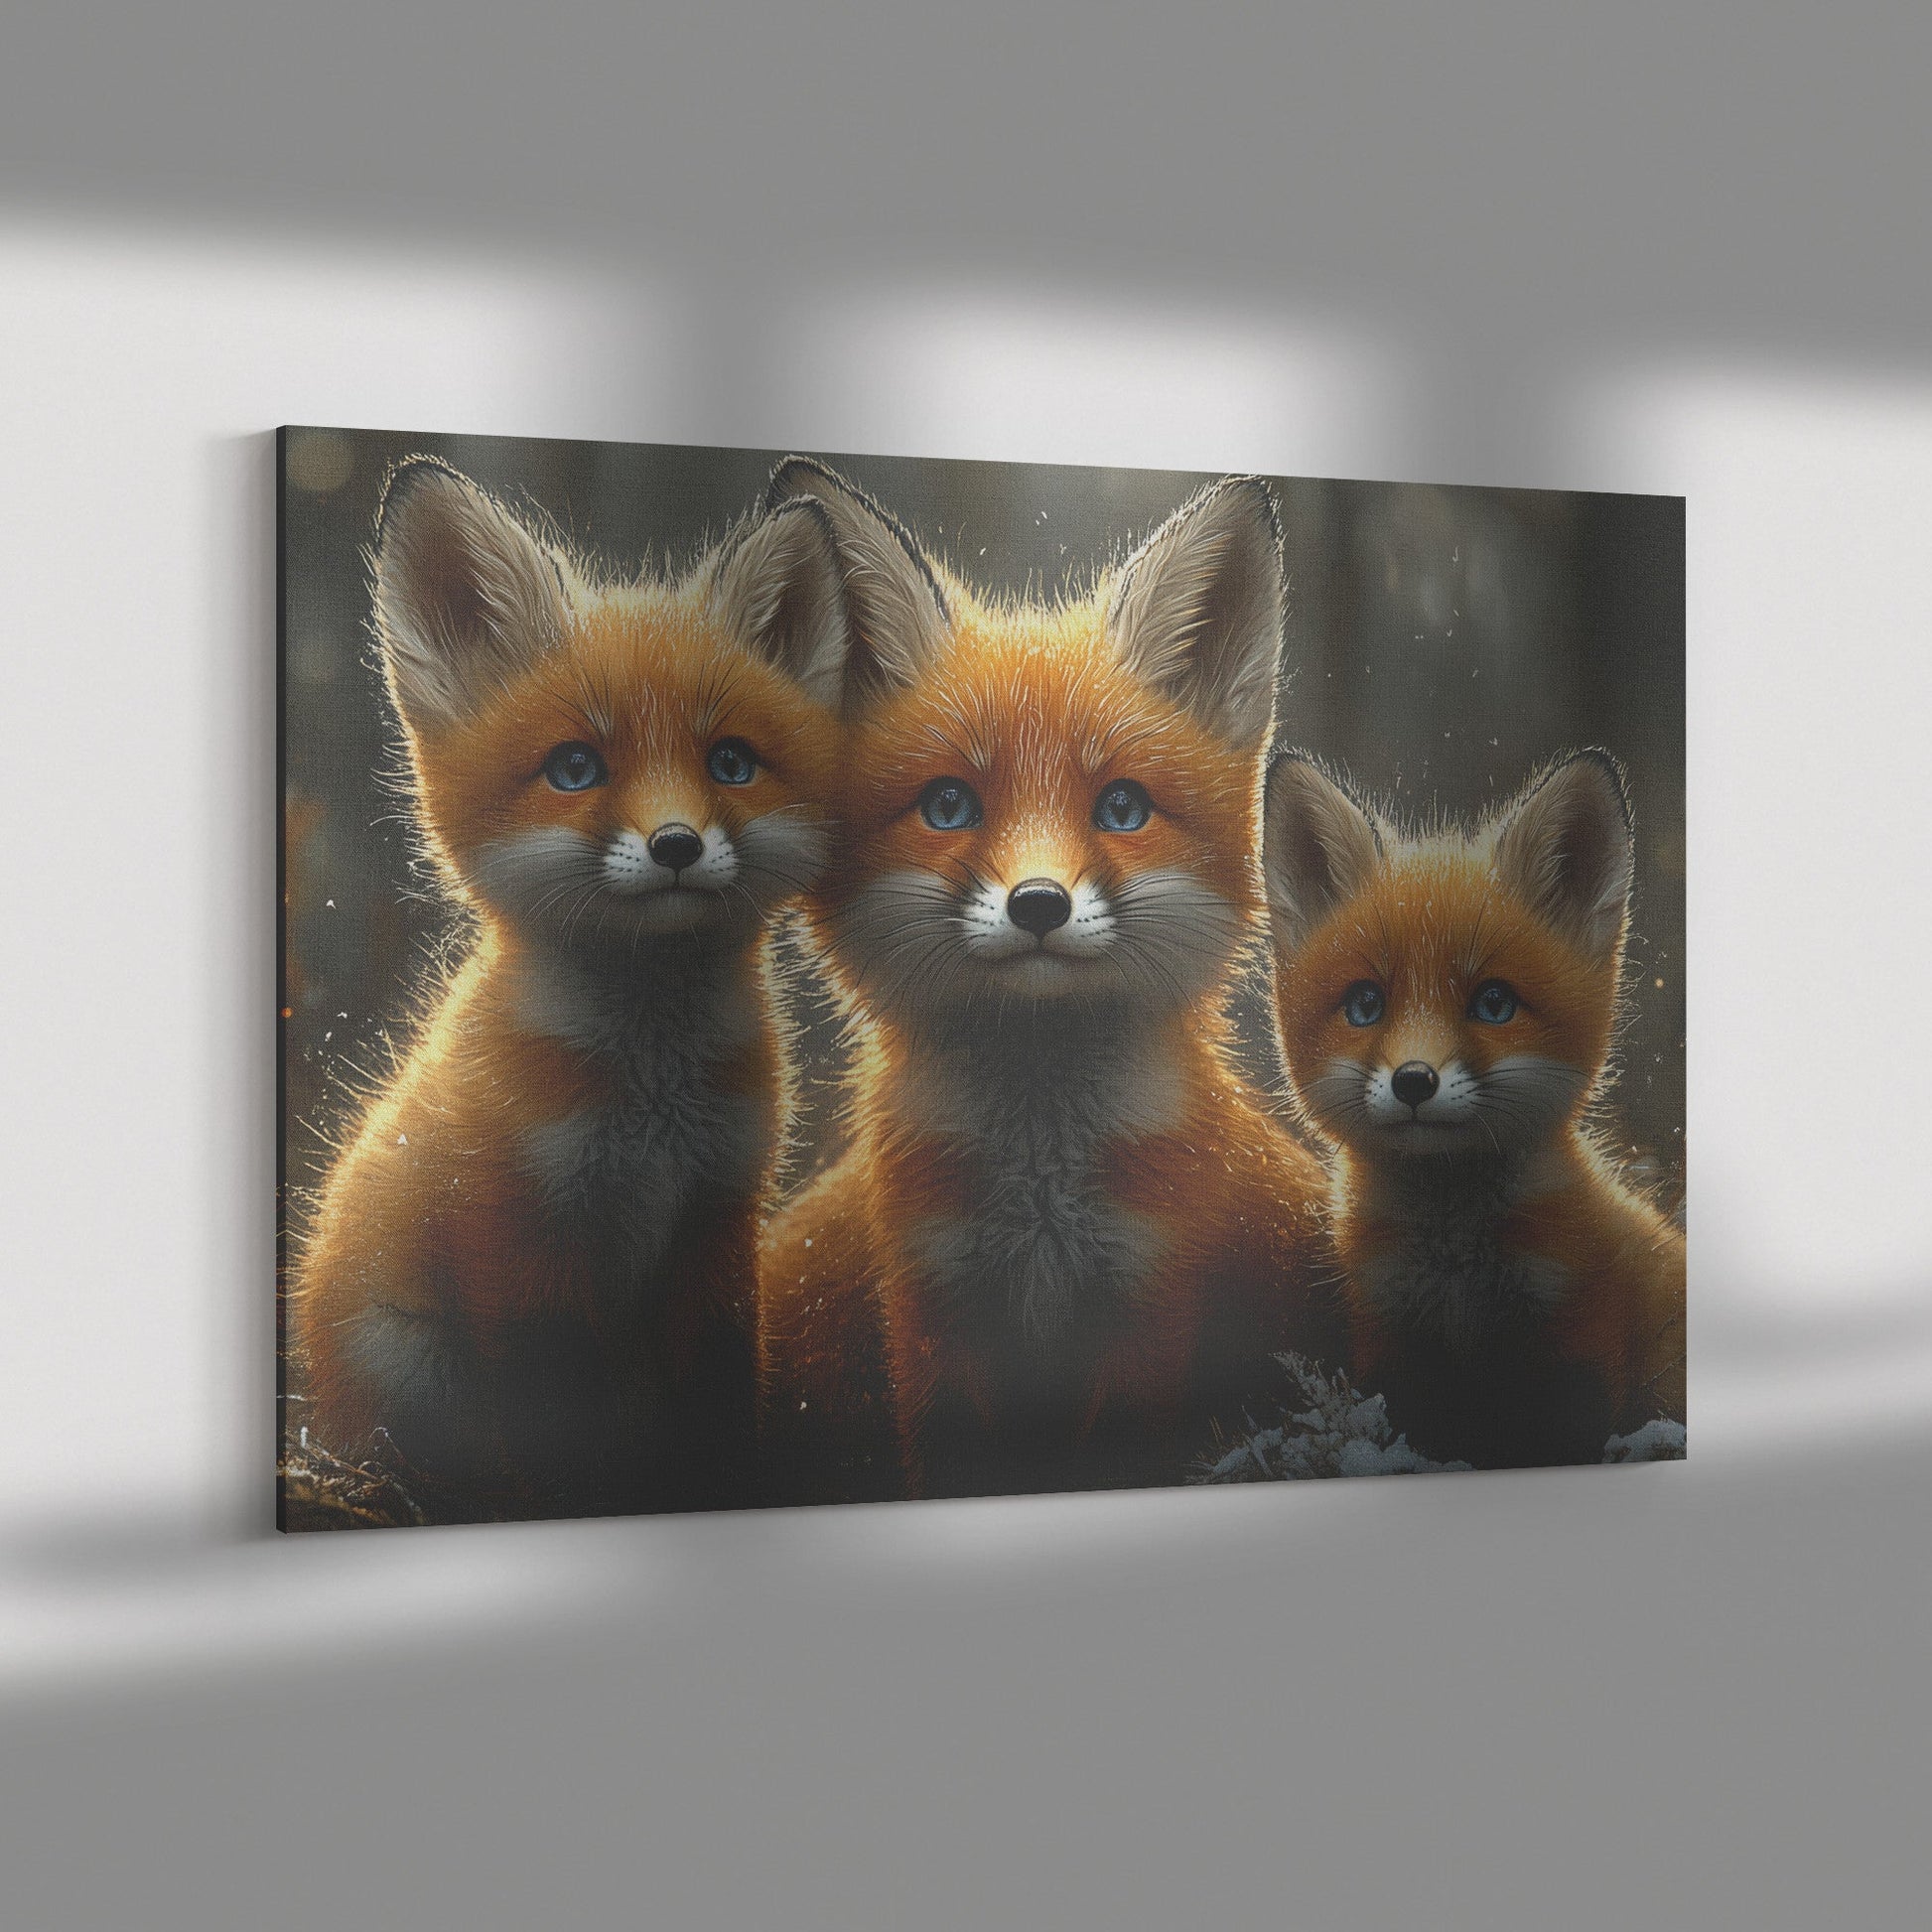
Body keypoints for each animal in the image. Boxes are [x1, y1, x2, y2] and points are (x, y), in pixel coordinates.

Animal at [289, 456, 854, 1517]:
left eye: (730, 762)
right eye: (576, 767)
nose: (675, 845)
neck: (651, 1107)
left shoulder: (716, 1224)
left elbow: (721, 1403)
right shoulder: (518, 1244)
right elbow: (554, 1431)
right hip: (405, 1360)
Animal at [756, 460, 1338, 1502]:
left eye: (1122, 809)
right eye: (949, 805)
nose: (1037, 904)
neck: (1039, 1216)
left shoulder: (1151, 1299)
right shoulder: (936, 1314)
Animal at [1260, 747, 1686, 1469]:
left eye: (1493, 1003)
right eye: (1365, 1005)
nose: (1414, 1081)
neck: (1455, 1272)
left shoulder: (1579, 1336)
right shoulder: (1389, 1338)